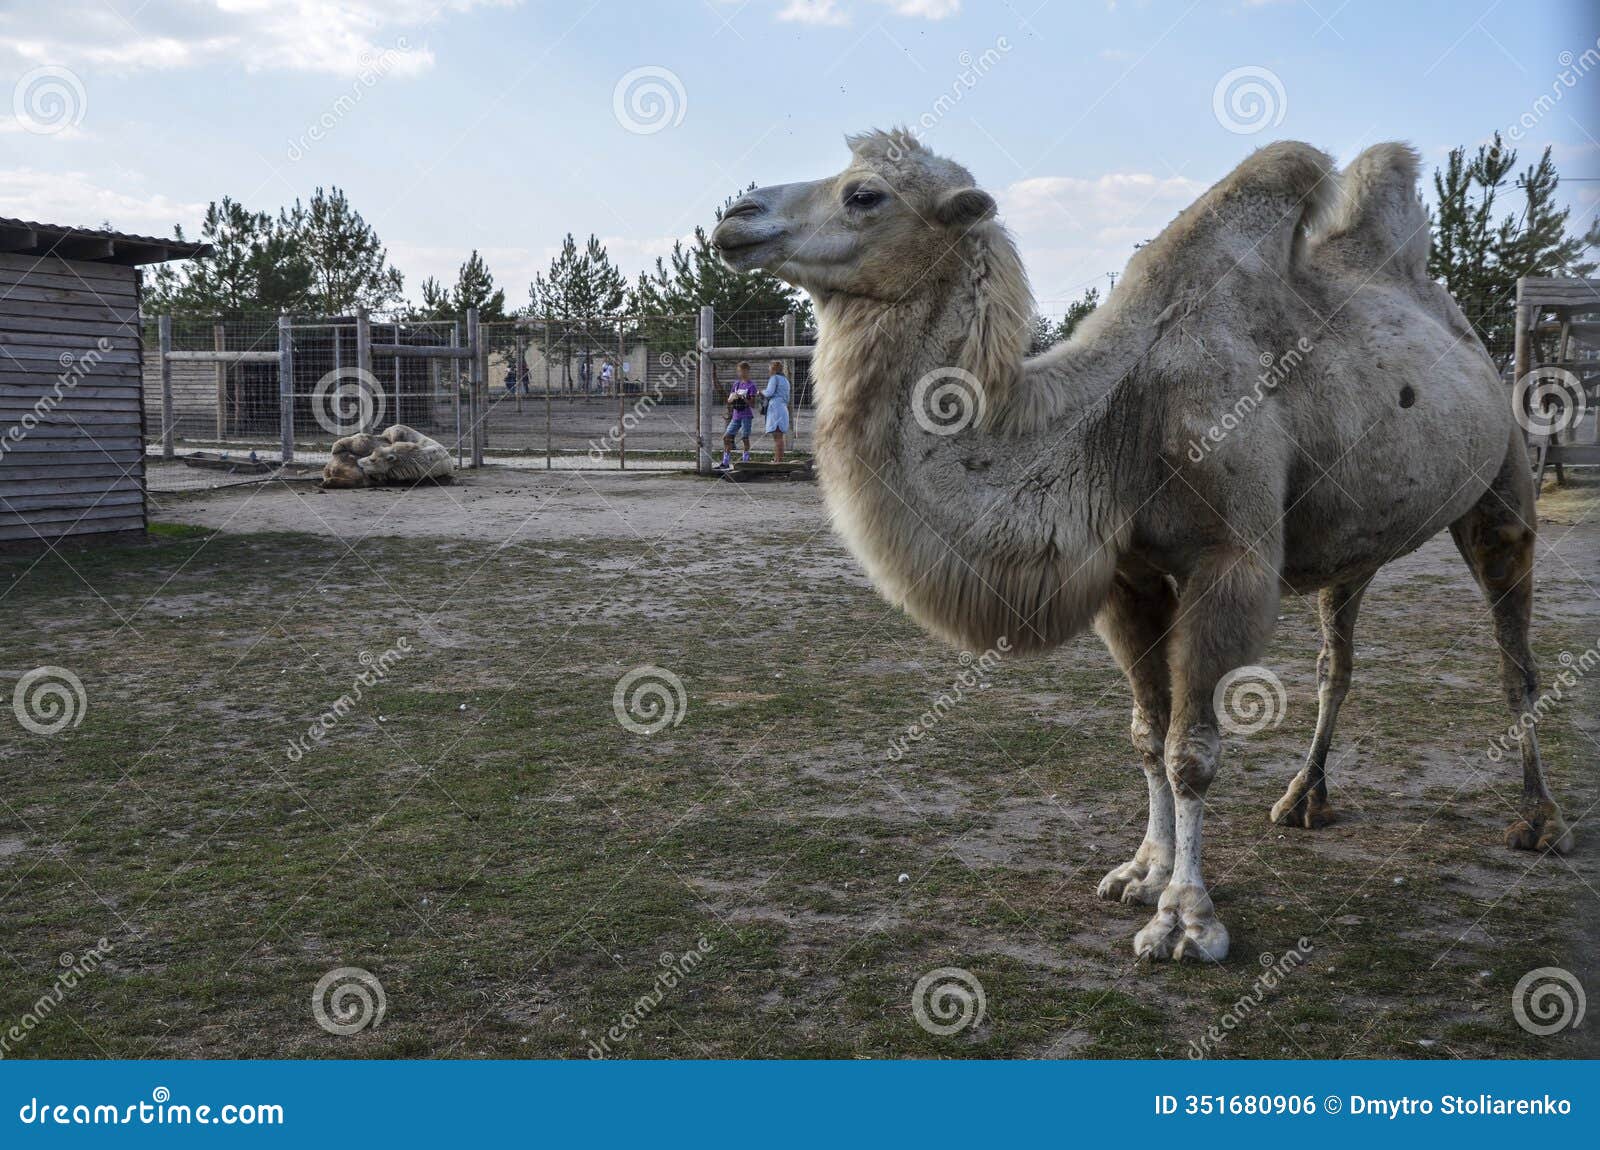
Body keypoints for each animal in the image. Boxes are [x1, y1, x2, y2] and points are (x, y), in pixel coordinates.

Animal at [711, 129, 1571, 963]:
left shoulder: (1228, 565)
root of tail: (1469, 339)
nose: (734, 215)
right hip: (1352, 543)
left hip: (1504, 485)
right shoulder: (1129, 579)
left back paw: (1539, 820)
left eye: (865, 195)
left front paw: (1186, 919)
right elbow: (1147, 735)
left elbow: (1192, 750)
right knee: (1339, 661)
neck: (1118, 417)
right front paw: (1142, 871)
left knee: (1515, 656)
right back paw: (1305, 799)